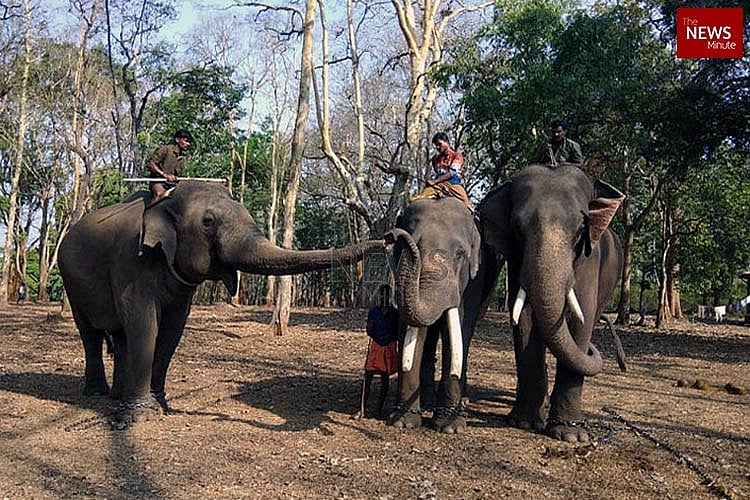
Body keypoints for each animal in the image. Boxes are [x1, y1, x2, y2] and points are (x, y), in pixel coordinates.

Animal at [58, 181, 383, 426]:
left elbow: (172, 331)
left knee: (119, 336)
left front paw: (162, 405)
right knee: (89, 333)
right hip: (70, 282)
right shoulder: (131, 262)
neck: (167, 201)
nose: (387, 238)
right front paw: (141, 414)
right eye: (208, 222)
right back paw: (97, 394)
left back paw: (116, 396)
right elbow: (144, 325)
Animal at [385, 197, 500, 433]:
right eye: (409, 247)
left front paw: (450, 427)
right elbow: (407, 329)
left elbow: (460, 329)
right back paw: (427, 402)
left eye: (460, 254)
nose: (392, 235)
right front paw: (403, 422)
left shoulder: (474, 280)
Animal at [479, 163, 625, 442]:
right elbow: (524, 319)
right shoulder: (516, 260)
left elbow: (581, 320)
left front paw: (570, 435)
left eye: (580, 230)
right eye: (517, 229)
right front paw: (523, 423)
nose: (591, 350)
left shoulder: (589, 258)